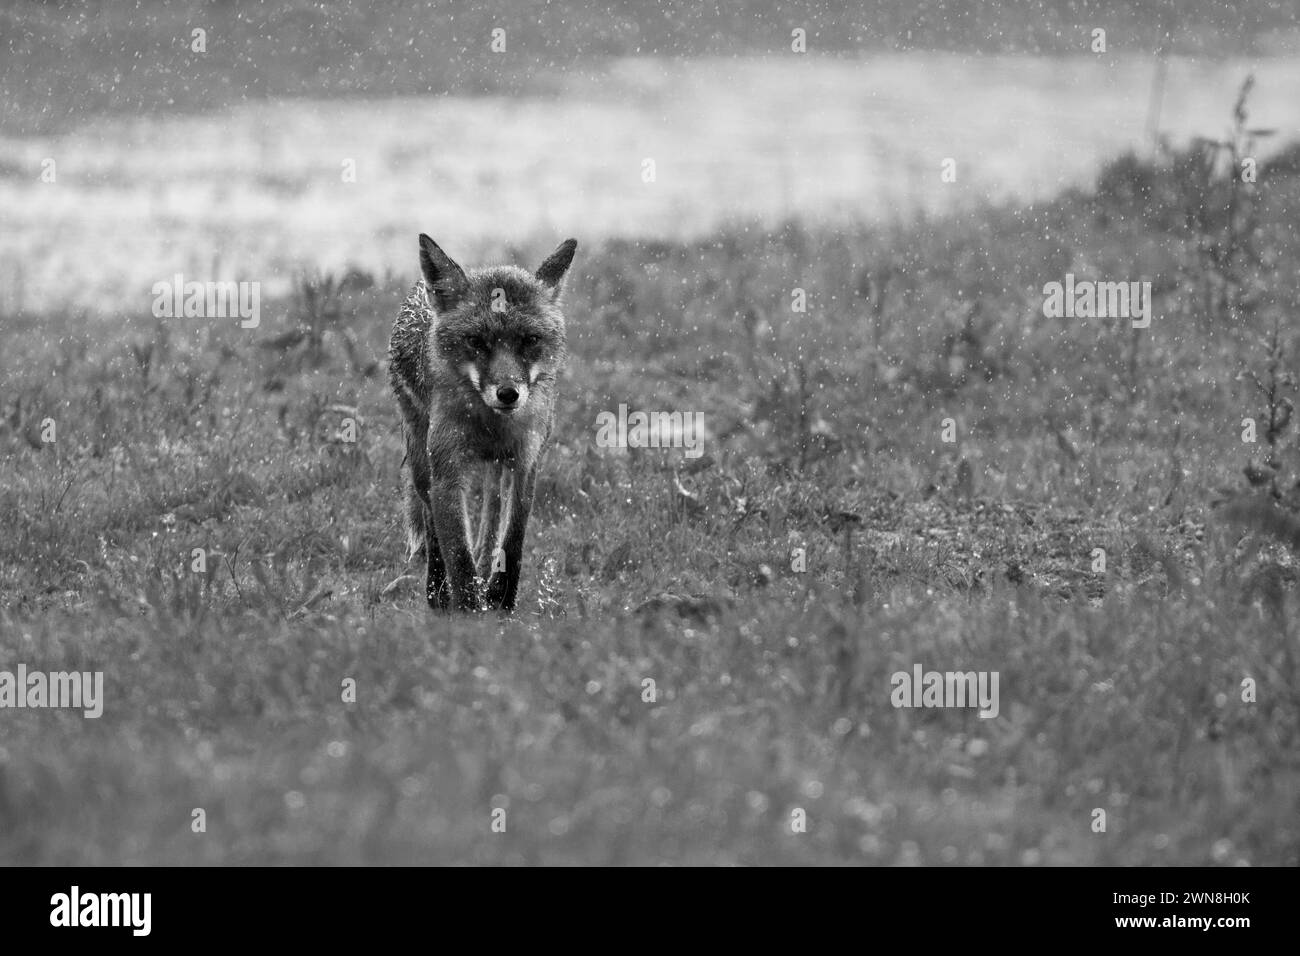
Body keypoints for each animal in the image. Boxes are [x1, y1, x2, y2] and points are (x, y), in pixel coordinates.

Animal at [389, 234, 577, 612]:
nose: (508, 393)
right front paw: (468, 610)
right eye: (476, 341)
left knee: (491, 515)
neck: (492, 426)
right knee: (432, 527)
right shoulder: (446, 470)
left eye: (530, 340)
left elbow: (512, 541)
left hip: (496, 467)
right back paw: (437, 593)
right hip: (422, 461)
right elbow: (458, 556)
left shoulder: (526, 463)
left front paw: (500, 601)